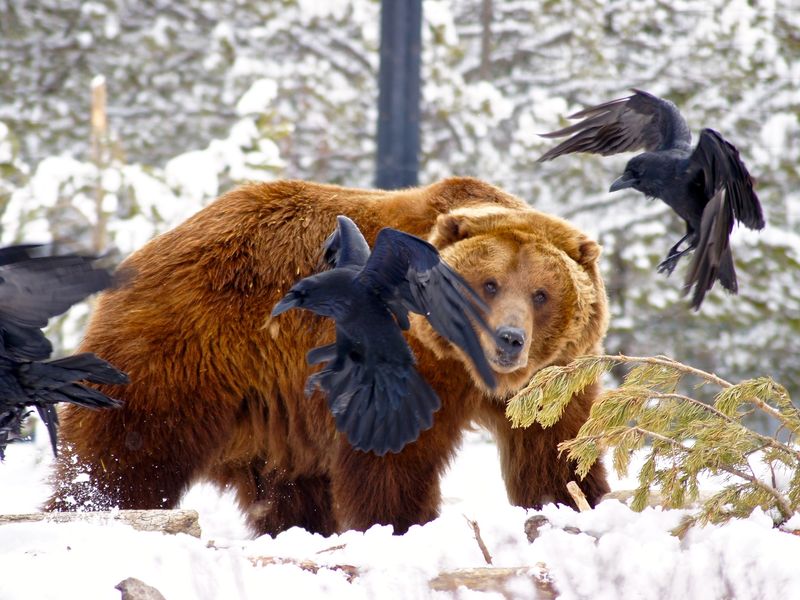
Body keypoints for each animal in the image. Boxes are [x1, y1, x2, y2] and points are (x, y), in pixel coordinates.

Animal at [46, 177, 610, 535]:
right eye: (488, 284)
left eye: (541, 293)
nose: (508, 338)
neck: (458, 365)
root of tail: (142, 256)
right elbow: (391, 460)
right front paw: (402, 524)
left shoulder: (552, 381)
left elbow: (555, 449)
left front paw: (576, 503)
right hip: (187, 349)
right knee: (126, 451)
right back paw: (87, 509)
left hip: (275, 409)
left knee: (289, 487)